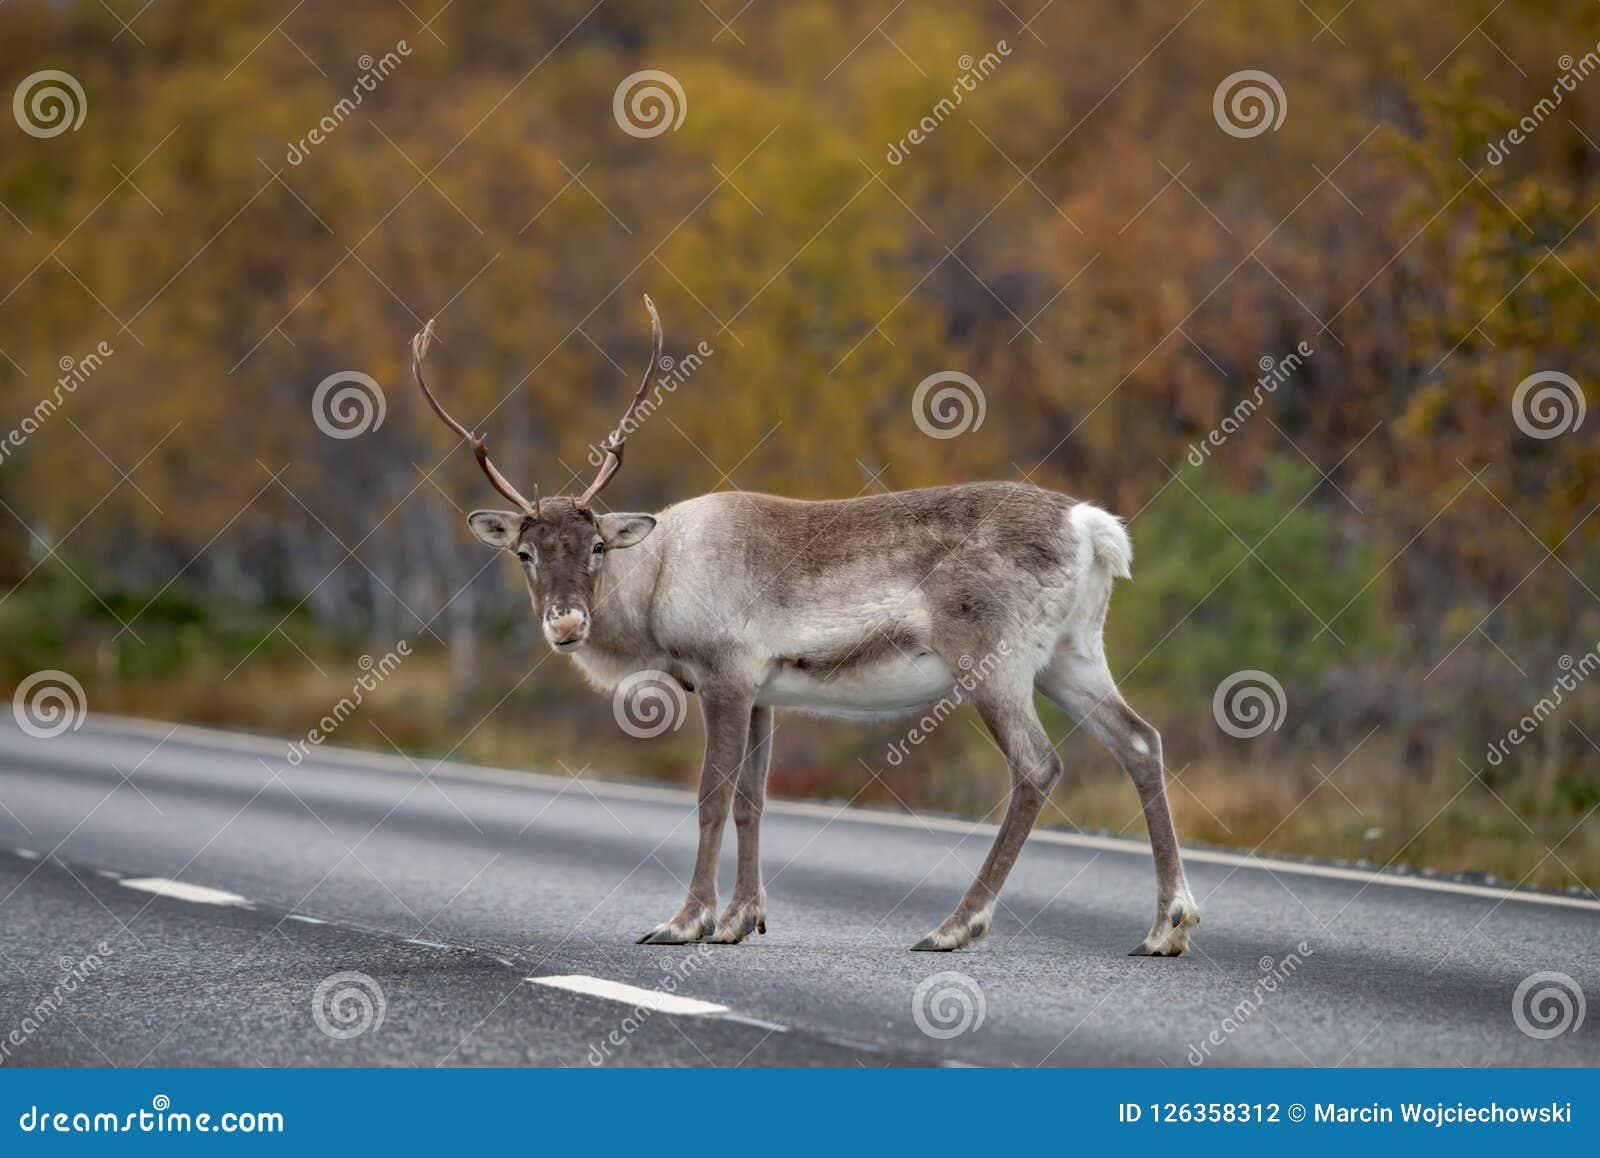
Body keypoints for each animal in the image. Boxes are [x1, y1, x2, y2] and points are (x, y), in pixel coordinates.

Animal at [409, 298, 1200, 956]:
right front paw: (740, 919)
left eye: (597, 545)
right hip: (1072, 656)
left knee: (1038, 765)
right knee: (1142, 741)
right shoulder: (764, 693)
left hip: (994, 662)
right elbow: (753, 801)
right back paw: (1167, 926)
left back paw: (955, 926)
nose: (567, 621)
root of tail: (1093, 528)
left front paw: (685, 921)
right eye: (524, 552)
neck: (657, 582)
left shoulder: (725, 677)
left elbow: (711, 796)